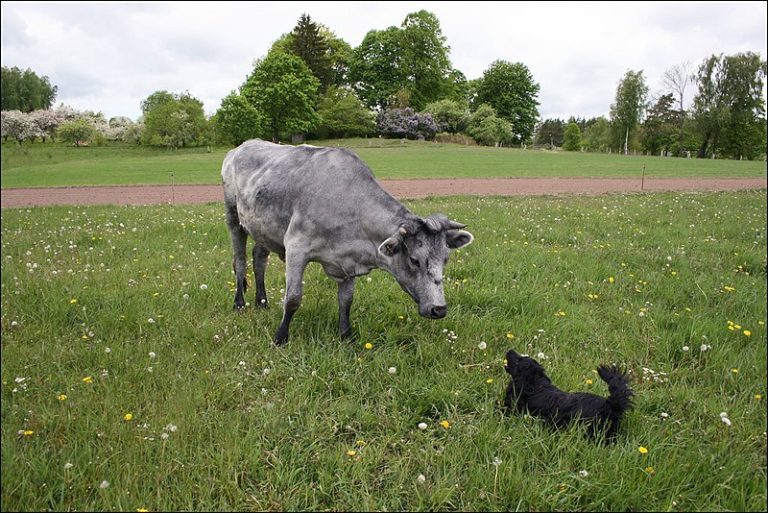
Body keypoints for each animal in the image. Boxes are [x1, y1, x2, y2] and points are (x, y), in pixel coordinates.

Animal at [221, 139, 473, 345]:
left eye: (445, 259)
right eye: (414, 260)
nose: (439, 309)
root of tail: (239, 147)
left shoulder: (348, 262)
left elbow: (346, 301)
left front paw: (346, 335)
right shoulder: (296, 249)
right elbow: (292, 299)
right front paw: (280, 337)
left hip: (262, 229)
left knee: (258, 259)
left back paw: (262, 301)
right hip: (234, 218)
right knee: (240, 261)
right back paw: (240, 303)